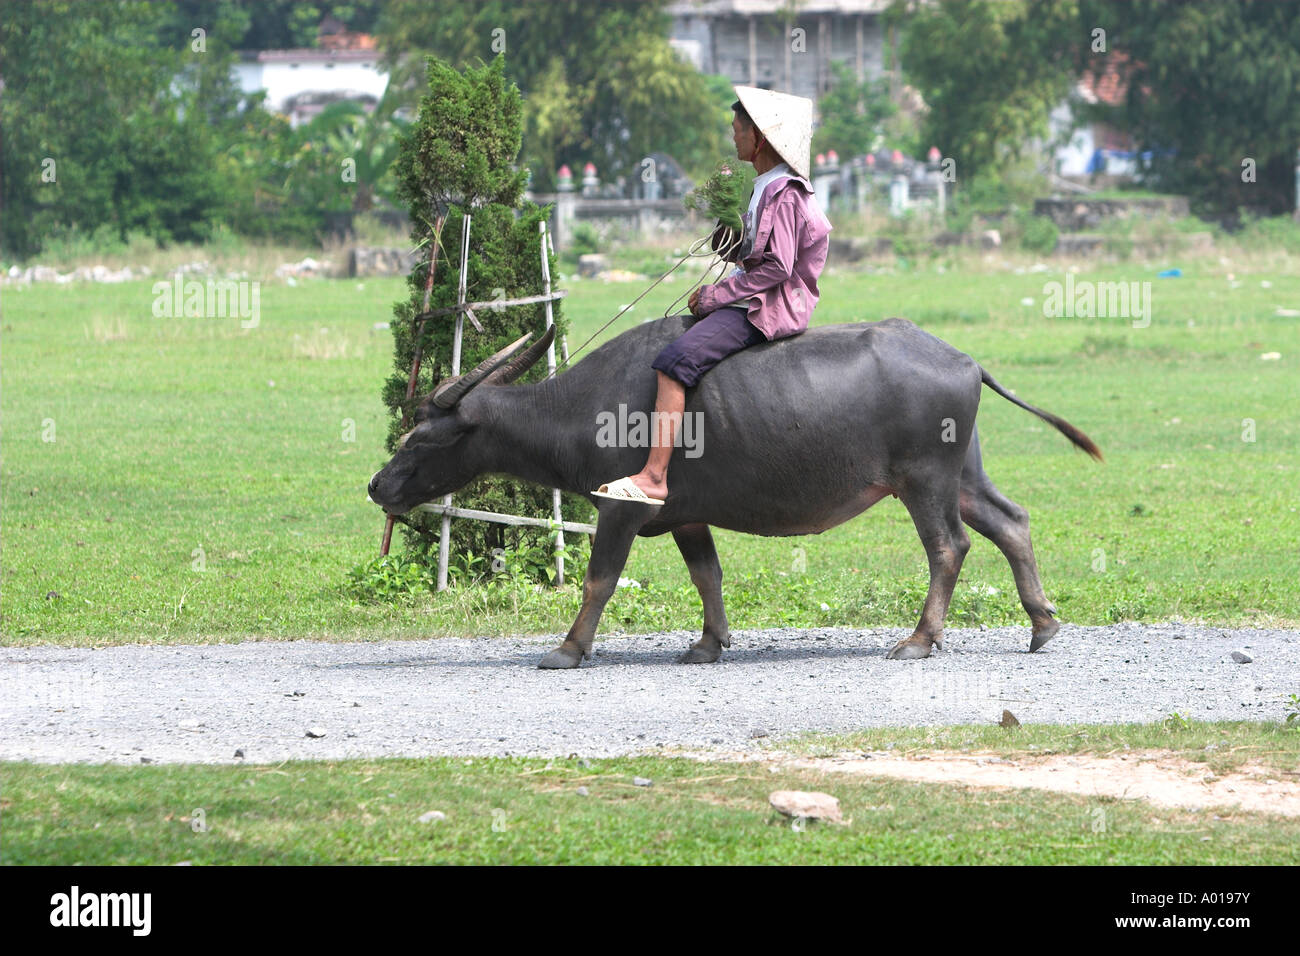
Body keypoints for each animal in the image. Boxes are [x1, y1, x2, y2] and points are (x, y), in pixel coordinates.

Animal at [368, 315, 1102, 668]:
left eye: (423, 438)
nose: (379, 485)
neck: (583, 407)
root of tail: (965, 361)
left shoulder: (620, 509)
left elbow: (600, 581)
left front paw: (568, 650)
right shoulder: (686, 516)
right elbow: (707, 576)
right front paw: (709, 643)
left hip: (925, 480)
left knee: (948, 547)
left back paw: (920, 639)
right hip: (961, 474)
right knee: (1010, 522)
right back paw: (1041, 624)